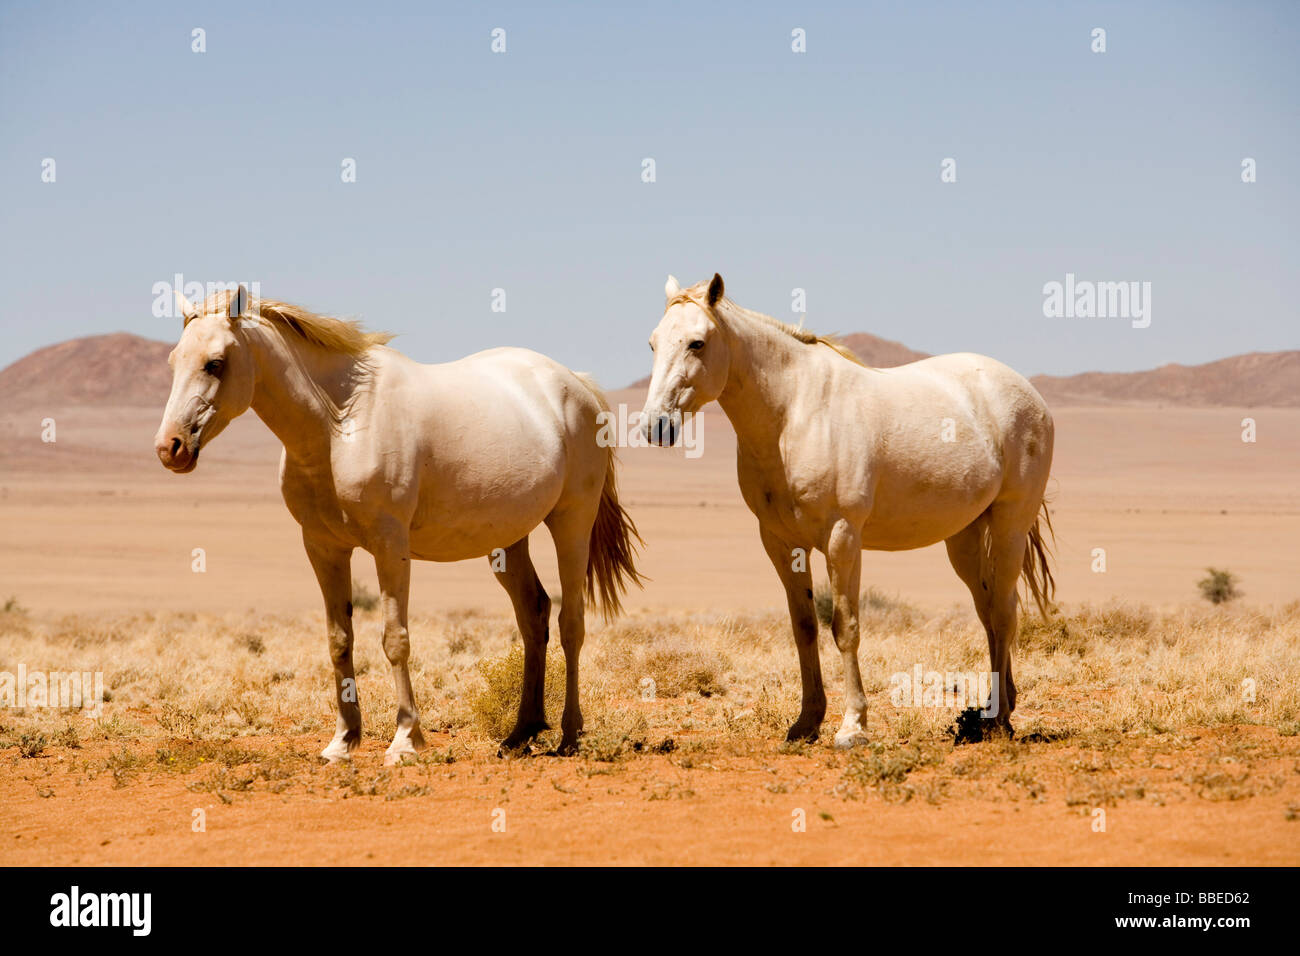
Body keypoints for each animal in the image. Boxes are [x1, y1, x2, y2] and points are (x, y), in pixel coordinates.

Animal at [154, 284, 642, 763]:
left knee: (570, 622)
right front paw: (343, 741)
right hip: (508, 540)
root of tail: (576, 384)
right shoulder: (322, 546)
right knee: (533, 615)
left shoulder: (389, 545)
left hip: (571, 523)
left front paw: (406, 739)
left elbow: (395, 639)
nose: (169, 447)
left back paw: (570, 735)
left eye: (215, 363)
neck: (339, 424)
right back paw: (520, 733)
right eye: (174, 361)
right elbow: (339, 640)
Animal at [640, 274, 1054, 746]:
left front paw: (853, 725)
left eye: (697, 342)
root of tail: (1029, 394)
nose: (655, 425)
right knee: (989, 612)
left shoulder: (842, 538)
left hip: (1009, 526)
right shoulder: (780, 542)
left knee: (1003, 612)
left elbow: (844, 626)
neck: (793, 414)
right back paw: (993, 710)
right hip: (964, 538)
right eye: (653, 343)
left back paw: (999, 718)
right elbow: (804, 628)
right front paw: (806, 721)